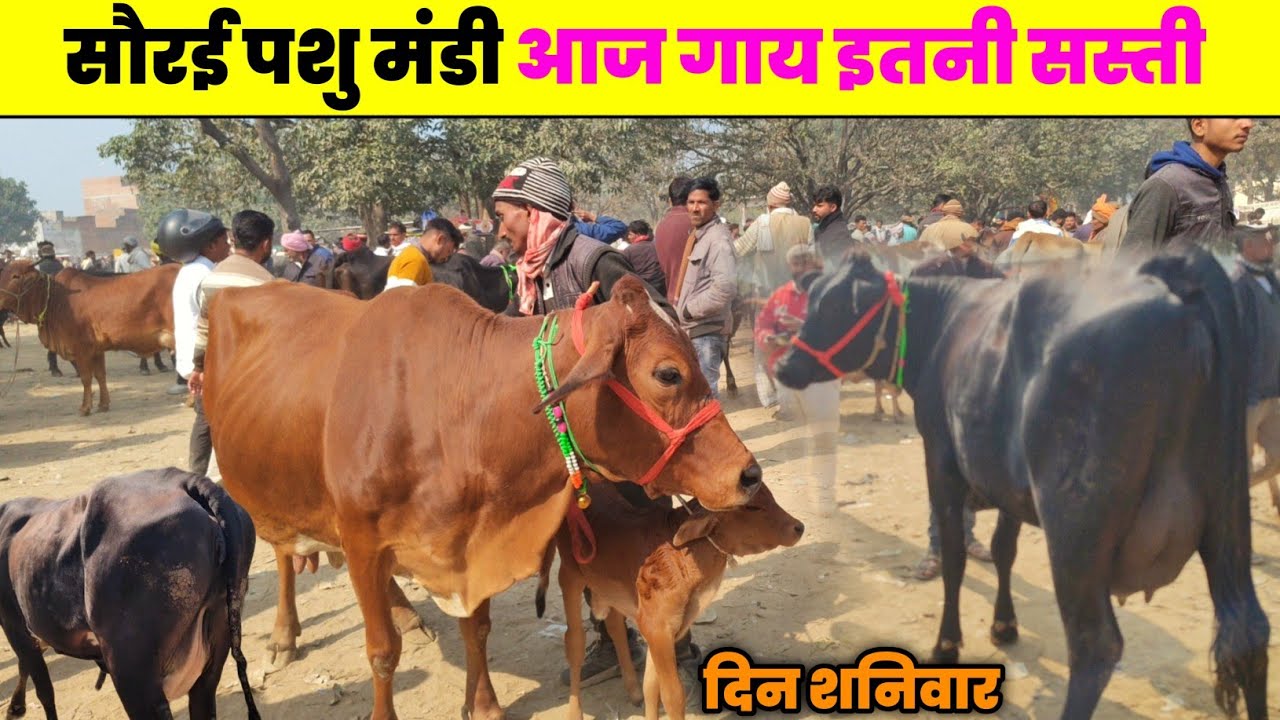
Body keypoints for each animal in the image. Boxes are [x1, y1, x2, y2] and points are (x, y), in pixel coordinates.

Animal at [0, 261, 179, 416]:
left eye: (15, 276)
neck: (56, 299)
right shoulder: (97, 349)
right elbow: (100, 375)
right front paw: (103, 405)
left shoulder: (81, 348)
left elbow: (86, 378)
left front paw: (85, 408)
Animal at [202, 274, 763, 720]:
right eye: (668, 373)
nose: (748, 474)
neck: (454, 407)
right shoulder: (361, 541)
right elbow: (382, 652)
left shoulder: (467, 543)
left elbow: (478, 630)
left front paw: (485, 704)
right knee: (282, 553)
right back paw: (284, 635)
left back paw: (404, 612)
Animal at [535, 481, 803, 720]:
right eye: (752, 507)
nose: (799, 527)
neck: (683, 556)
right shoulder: (658, 628)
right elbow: (673, 696)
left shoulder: (664, 628)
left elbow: (652, 688)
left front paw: (643, 694)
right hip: (570, 575)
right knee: (574, 642)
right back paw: (575, 712)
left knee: (615, 626)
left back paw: (632, 690)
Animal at [773, 246, 1269, 719]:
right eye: (813, 299)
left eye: (837, 306)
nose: (785, 366)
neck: (941, 327)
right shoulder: (1007, 482)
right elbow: (1002, 550)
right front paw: (1004, 625)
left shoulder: (941, 460)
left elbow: (955, 556)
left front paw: (946, 646)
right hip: (1227, 514)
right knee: (1249, 632)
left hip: (1075, 526)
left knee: (1095, 645)